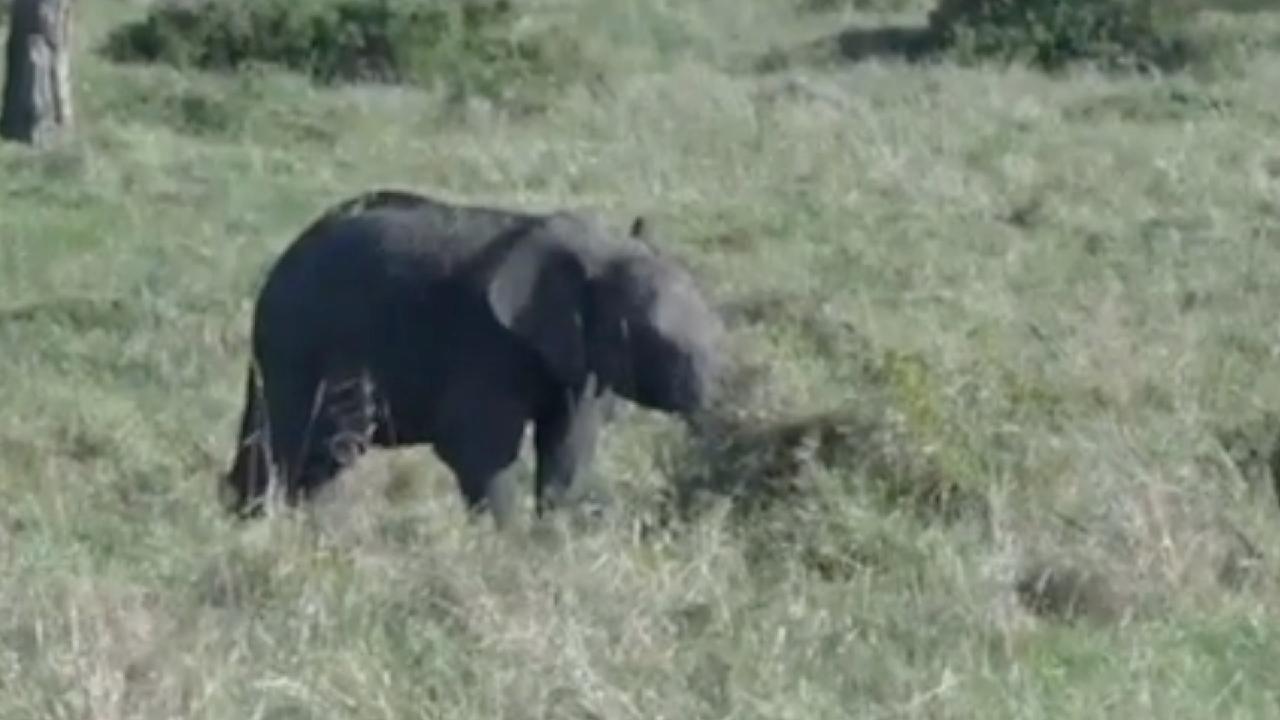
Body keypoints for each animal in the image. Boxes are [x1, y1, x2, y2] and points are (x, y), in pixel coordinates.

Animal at [221, 188, 724, 529]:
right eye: (653, 338)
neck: (596, 251)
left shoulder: (580, 363)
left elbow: (567, 447)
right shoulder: (483, 339)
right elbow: (481, 452)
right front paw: (505, 546)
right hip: (300, 342)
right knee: (306, 444)